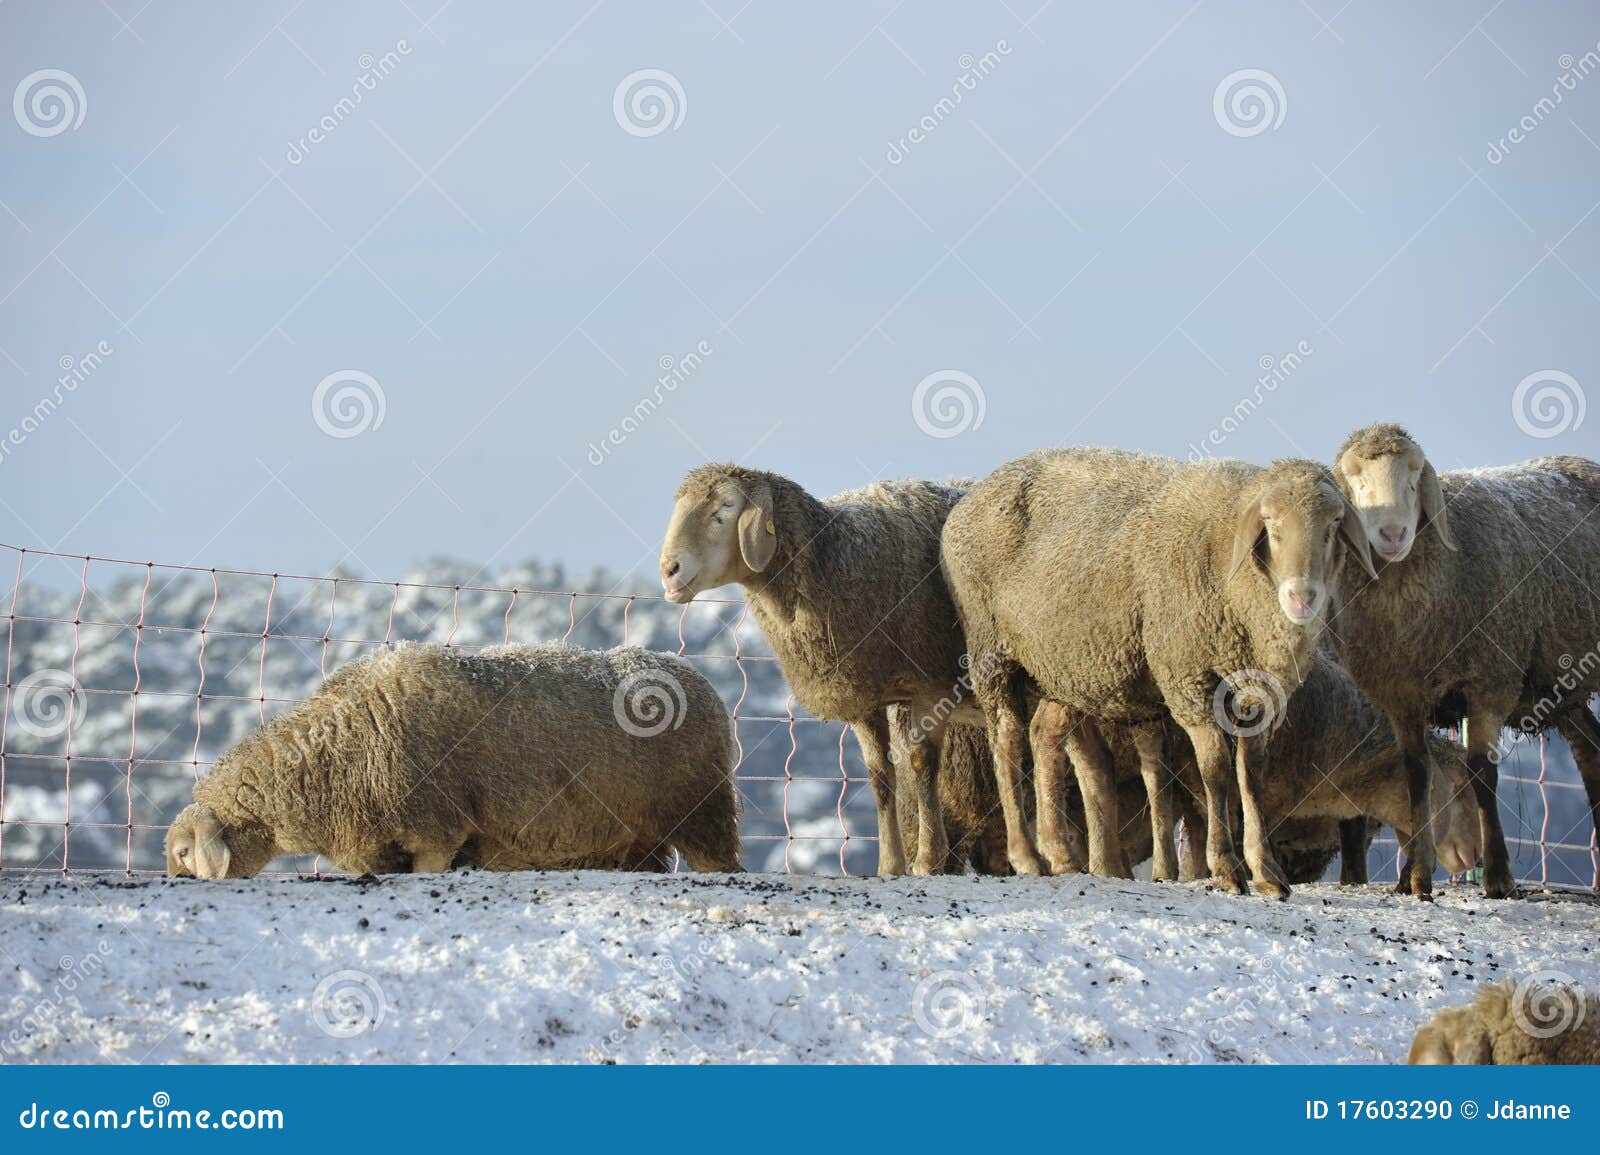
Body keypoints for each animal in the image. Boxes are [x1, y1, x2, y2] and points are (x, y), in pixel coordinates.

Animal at [164, 643, 741, 878]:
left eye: (185, 852)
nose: (177, 879)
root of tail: (698, 681)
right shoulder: (380, 851)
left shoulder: (436, 833)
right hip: (636, 839)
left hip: (703, 811)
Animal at [659, 465, 978, 876]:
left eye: (726, 507)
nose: (669, 571)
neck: (834, 556)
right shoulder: (864, 696)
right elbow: (880, 777)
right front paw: (889, 865)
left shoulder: (931, 684)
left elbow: (922, 765)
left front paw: (928, 859)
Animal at [941, 448, 1377, 895]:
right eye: (1270, 522)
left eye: (1334, 523)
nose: (1303, 596)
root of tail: (972, 498)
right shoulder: (1188, 679)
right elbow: (1215, 768)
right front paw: (1226, 867)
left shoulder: (1260, 694)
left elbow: (1250, 773)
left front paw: (1266, 870)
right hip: (991, 651)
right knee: (1007, 742)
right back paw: (1026, 856)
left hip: (1065, 667)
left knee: (1044, 734)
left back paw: (1061, 856)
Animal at [1330, 424, 1600, 899]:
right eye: (1355, 477)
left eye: (1414, 476)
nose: (1393, 534)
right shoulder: (1402, 693)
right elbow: (1417, 776)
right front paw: (1415, 876)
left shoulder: (1490, 681)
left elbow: (1481, 775)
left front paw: (1498, 876)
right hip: (1564, 687)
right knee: (1592, 755)